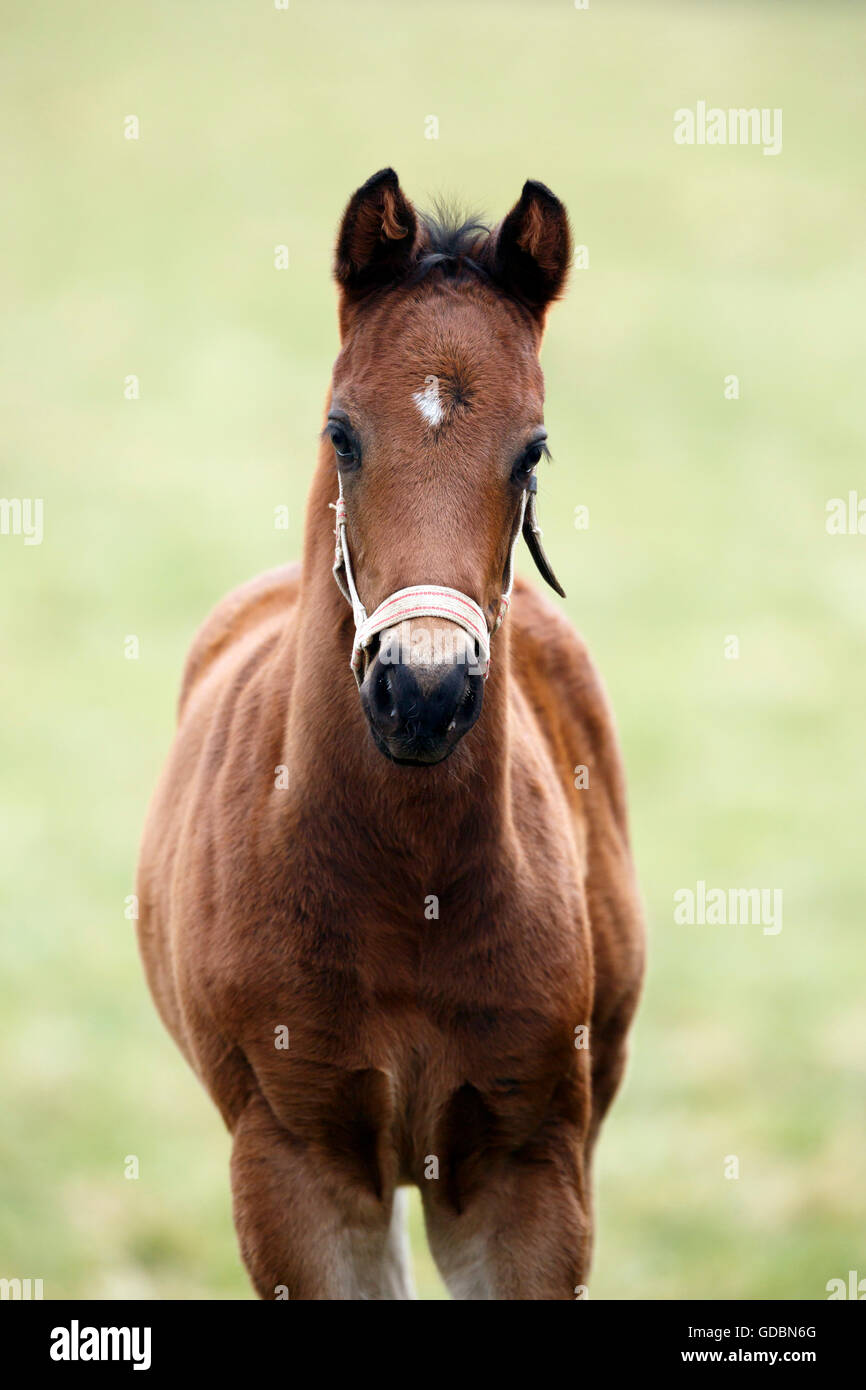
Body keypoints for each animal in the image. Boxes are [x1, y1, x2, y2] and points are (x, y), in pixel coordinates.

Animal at [136, 169, 645, 1300]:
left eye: (532, 450)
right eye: (341, 433)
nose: (421, 691)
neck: (407, 885)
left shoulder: (529, 1165)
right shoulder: (293, 1160)